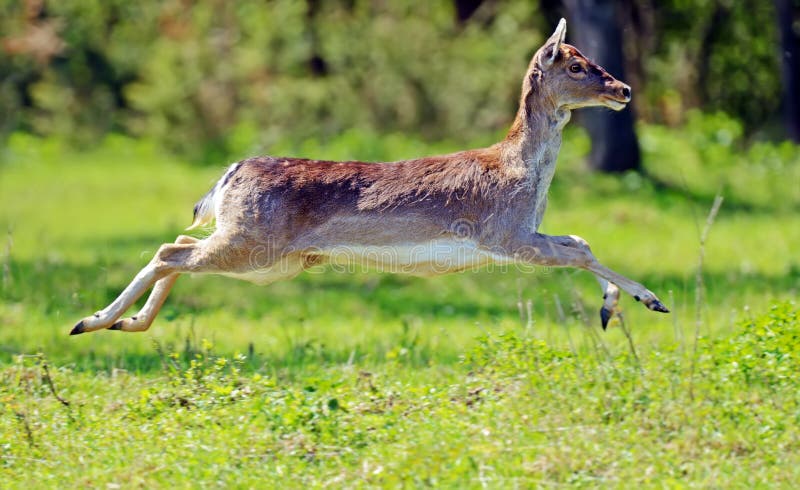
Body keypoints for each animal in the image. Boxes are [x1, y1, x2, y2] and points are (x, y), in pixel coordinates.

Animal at [71, 19, 668, 337]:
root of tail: (229, 175)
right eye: (575, 65)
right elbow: (577, 250)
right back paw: (92, 320)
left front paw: (614, 309)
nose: (623, 90)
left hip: (270, 260)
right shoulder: (503, 234)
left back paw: (126, 324)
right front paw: (651, 299)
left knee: (178, 244)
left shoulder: (522, 234)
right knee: (170, 250)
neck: (523, 177)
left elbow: (580, 240)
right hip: (255, 243)